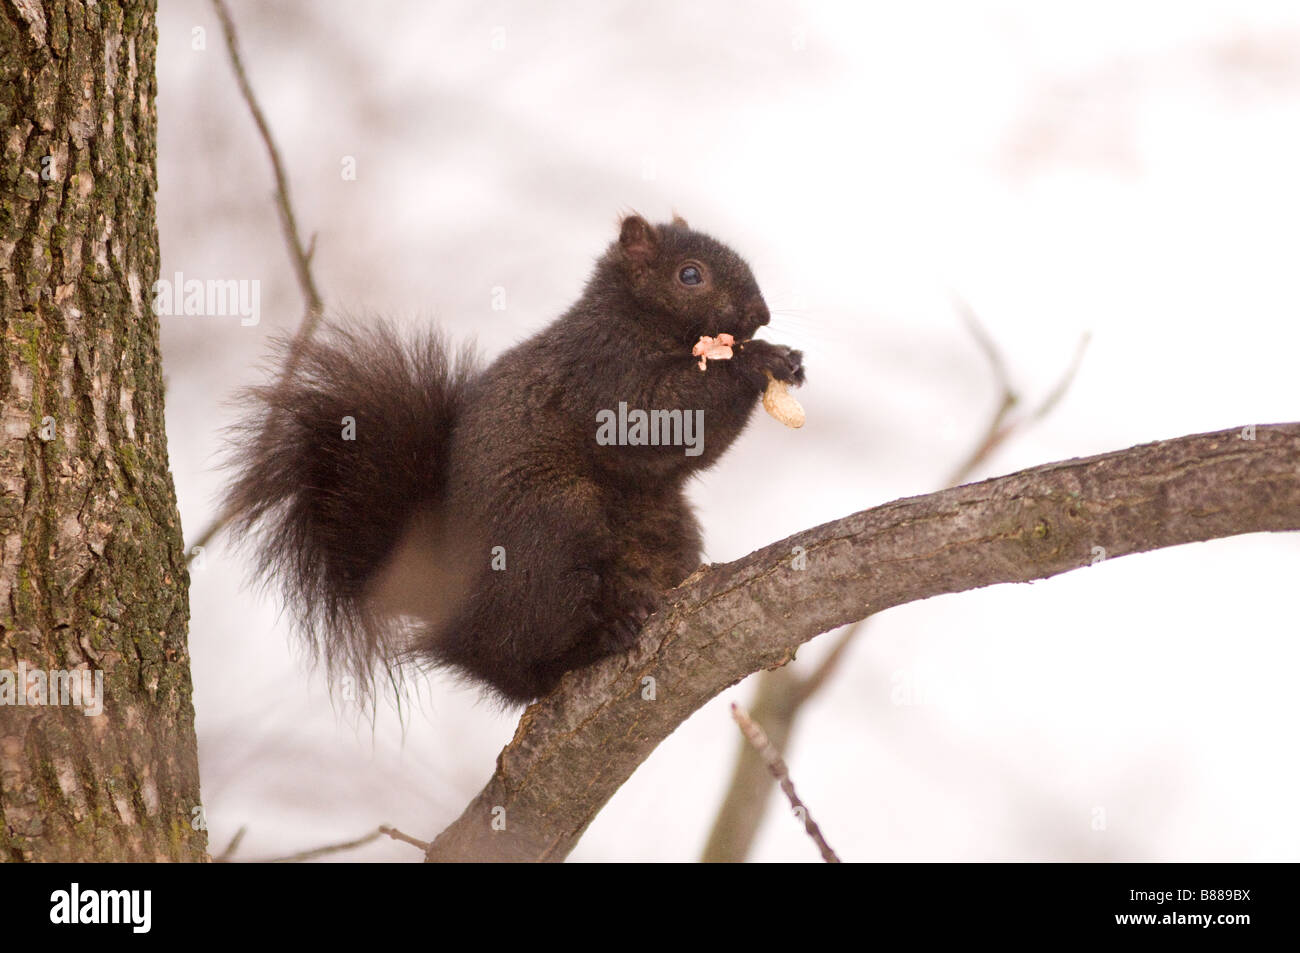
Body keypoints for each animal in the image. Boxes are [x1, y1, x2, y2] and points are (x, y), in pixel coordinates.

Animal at [224, 214, 805, 704]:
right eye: (690, 275)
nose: (760, 315)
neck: (640, 322)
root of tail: (456, 614)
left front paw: (785, 359)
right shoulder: (601, 371)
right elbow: (653, 420)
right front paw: (756, 361)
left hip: (662, 533)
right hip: (552, 524)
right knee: (531, 660)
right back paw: (598, 638)